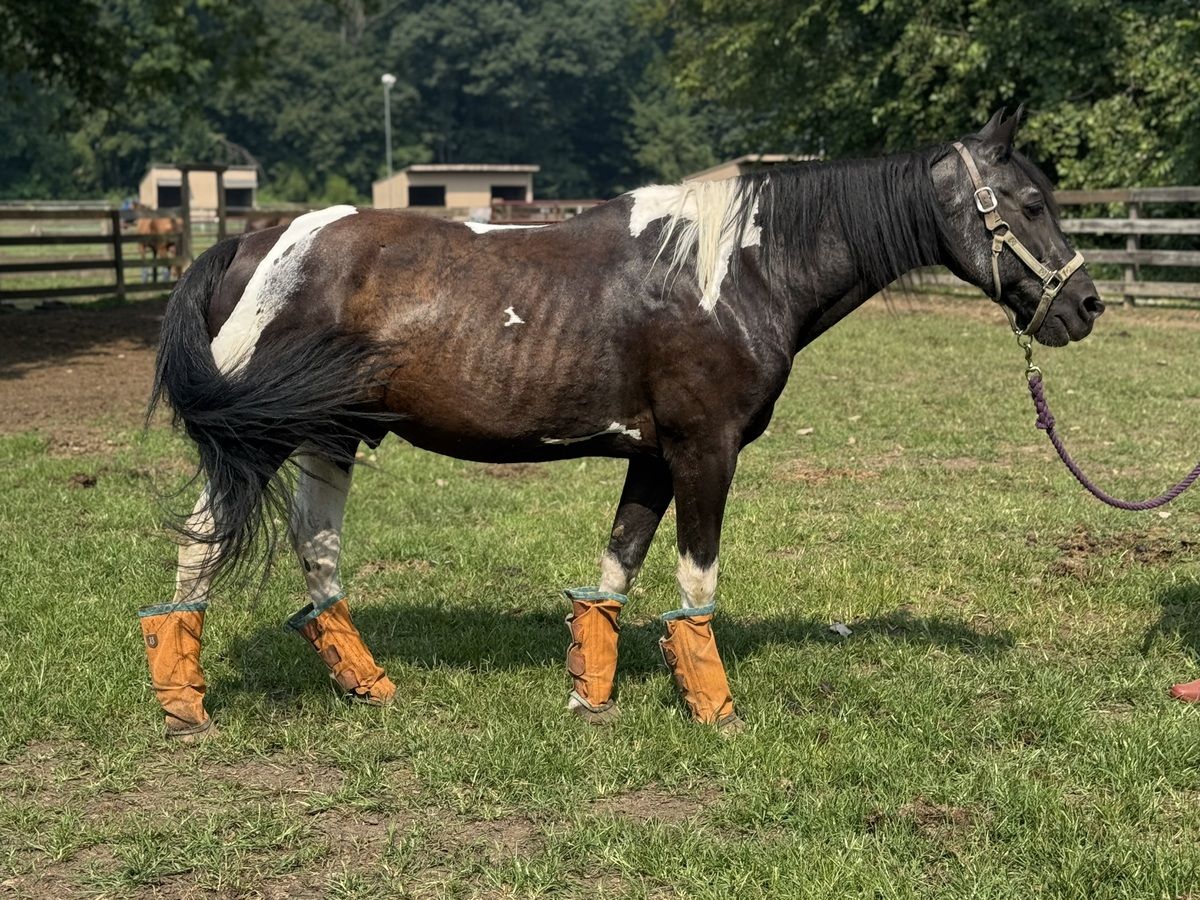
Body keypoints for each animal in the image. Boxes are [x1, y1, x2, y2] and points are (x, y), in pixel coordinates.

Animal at [142, 107, 1103, 740]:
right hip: (257, 441)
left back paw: (367, 685)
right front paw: (715, 711)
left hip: (330, 436)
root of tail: (248, 242)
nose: (1085, 305)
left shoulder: (652, 457)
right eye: (1027, 202)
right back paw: (184, 705)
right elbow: (695, 584)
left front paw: (588, 698)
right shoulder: (705, 451)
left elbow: (616, 570)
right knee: (198, 547)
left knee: (317, 551)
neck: (734, 272)